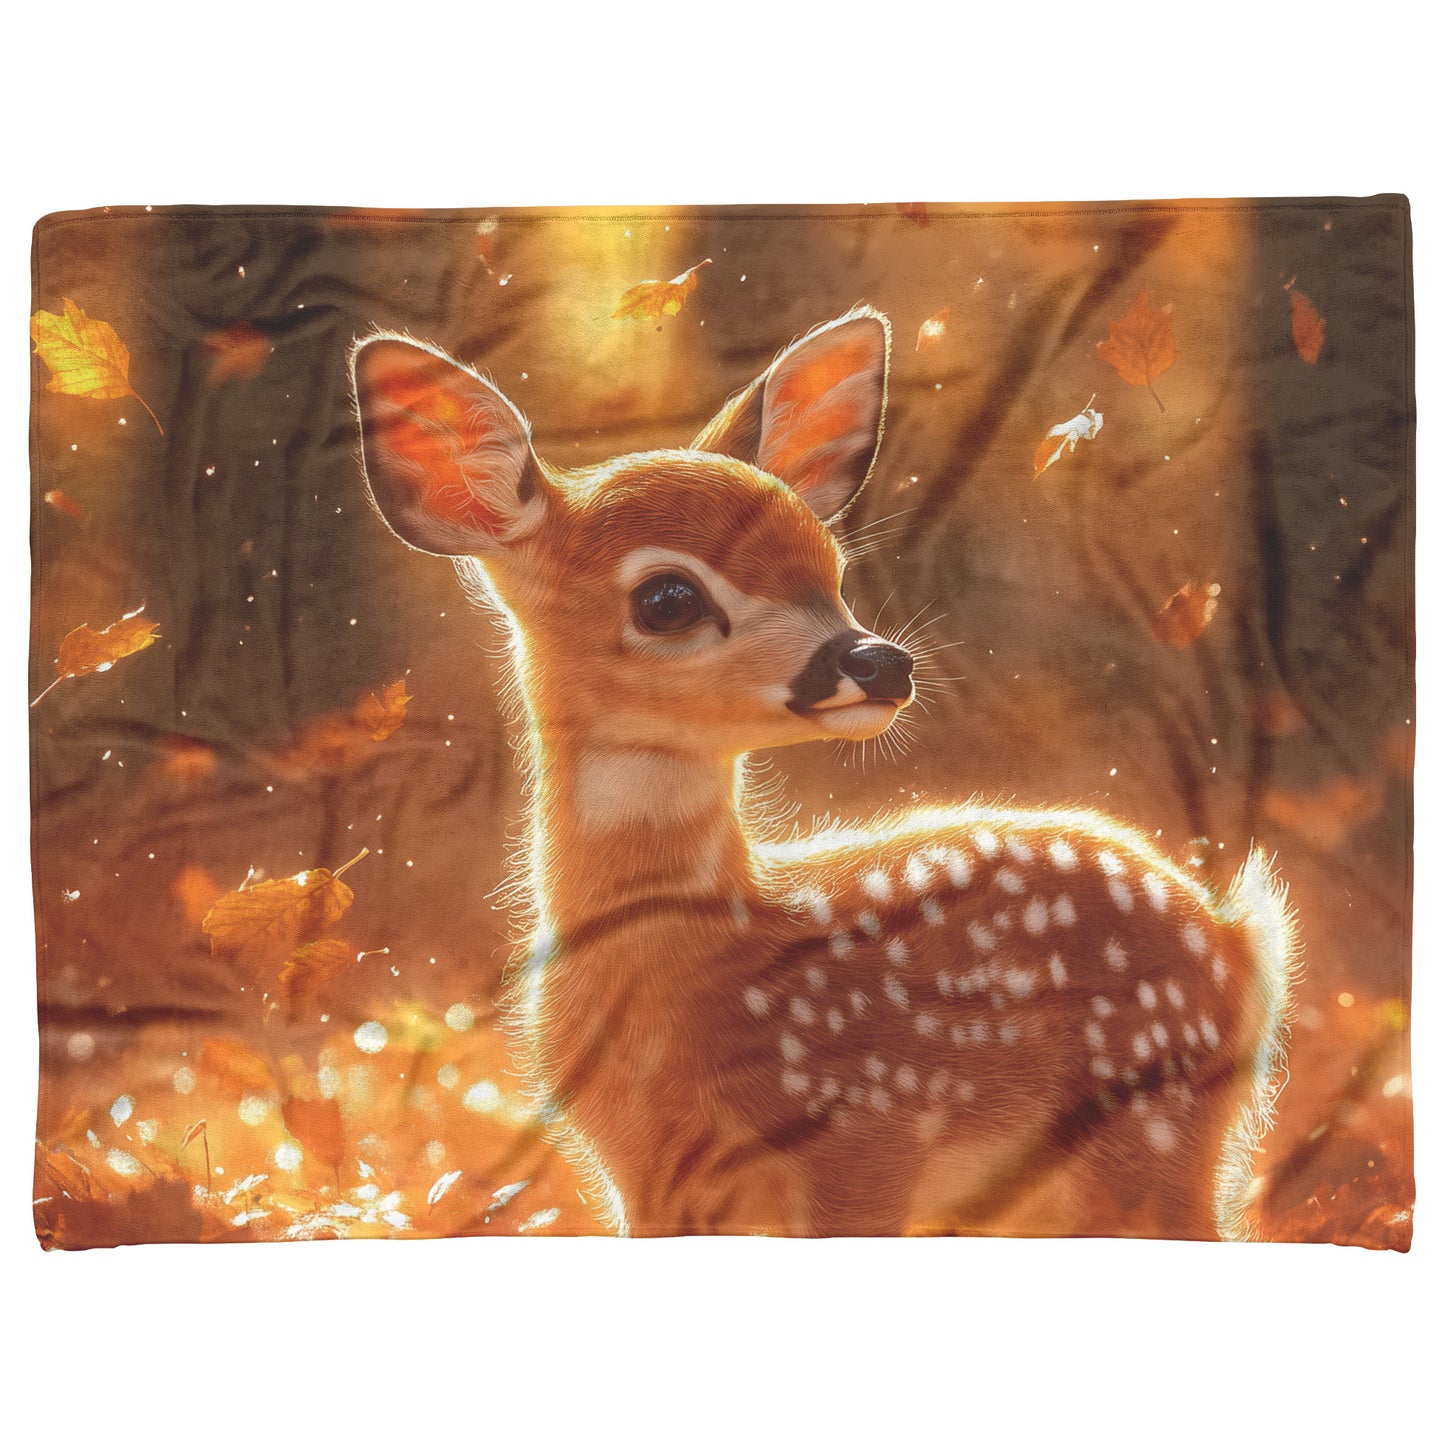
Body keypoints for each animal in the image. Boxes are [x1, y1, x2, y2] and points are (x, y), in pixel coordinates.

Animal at [350, 305, 1299, 1240]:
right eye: (667, 598)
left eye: (831, 569)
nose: (880, 662)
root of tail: (1237, 937)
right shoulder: (644, 1180)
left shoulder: (867, 1127)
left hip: (1147, 1124)